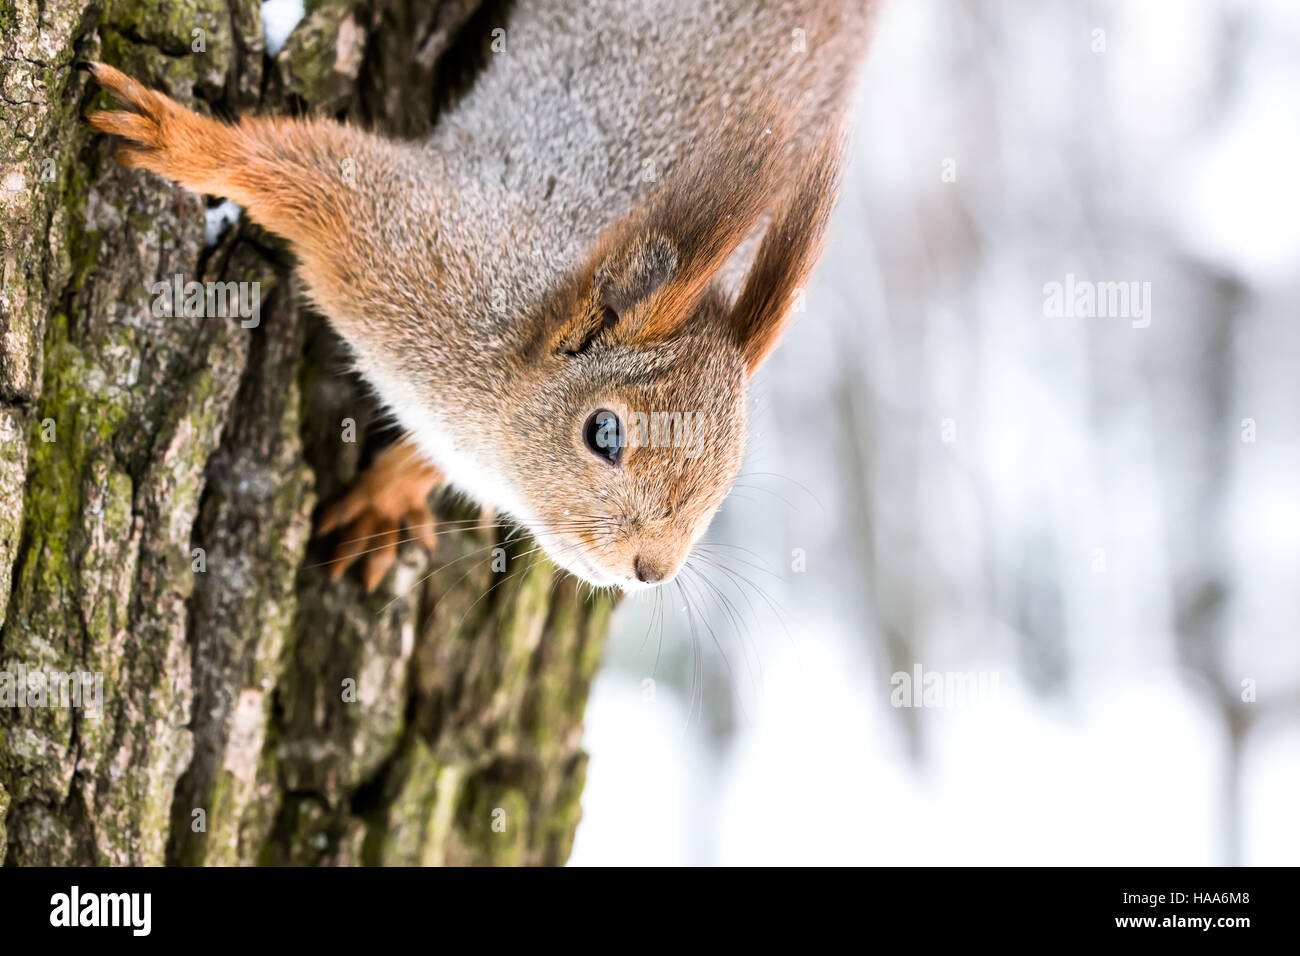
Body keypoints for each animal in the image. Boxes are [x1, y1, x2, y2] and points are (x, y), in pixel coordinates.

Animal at [84, 1, 878, 593]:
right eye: (604, 433)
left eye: (731, 466)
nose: (653, 569)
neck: (491, 418)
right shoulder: (413, 243)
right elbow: (311, 170)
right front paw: (182, 138)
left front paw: (390, 493)